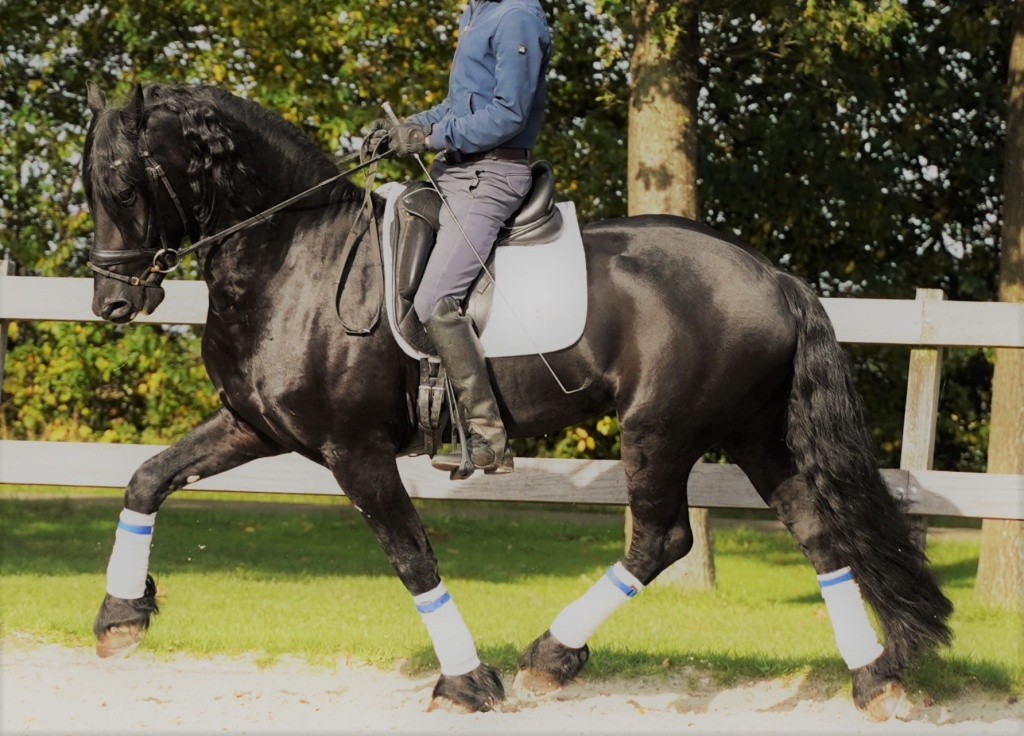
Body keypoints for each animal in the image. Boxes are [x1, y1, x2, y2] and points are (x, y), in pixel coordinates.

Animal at [82, 82, 952, 719]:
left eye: (122, 181)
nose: (114, 302)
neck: (298, 257)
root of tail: (772, 275)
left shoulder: (353, 450)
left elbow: (412, 556)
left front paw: (467, 683)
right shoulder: (252, 426)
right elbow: (147, 479)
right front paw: (120, 617)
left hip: (661, 429)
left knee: (661, 540)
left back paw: (550, 658)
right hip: (752, 434)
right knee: (818, 534)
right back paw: (875, 680)